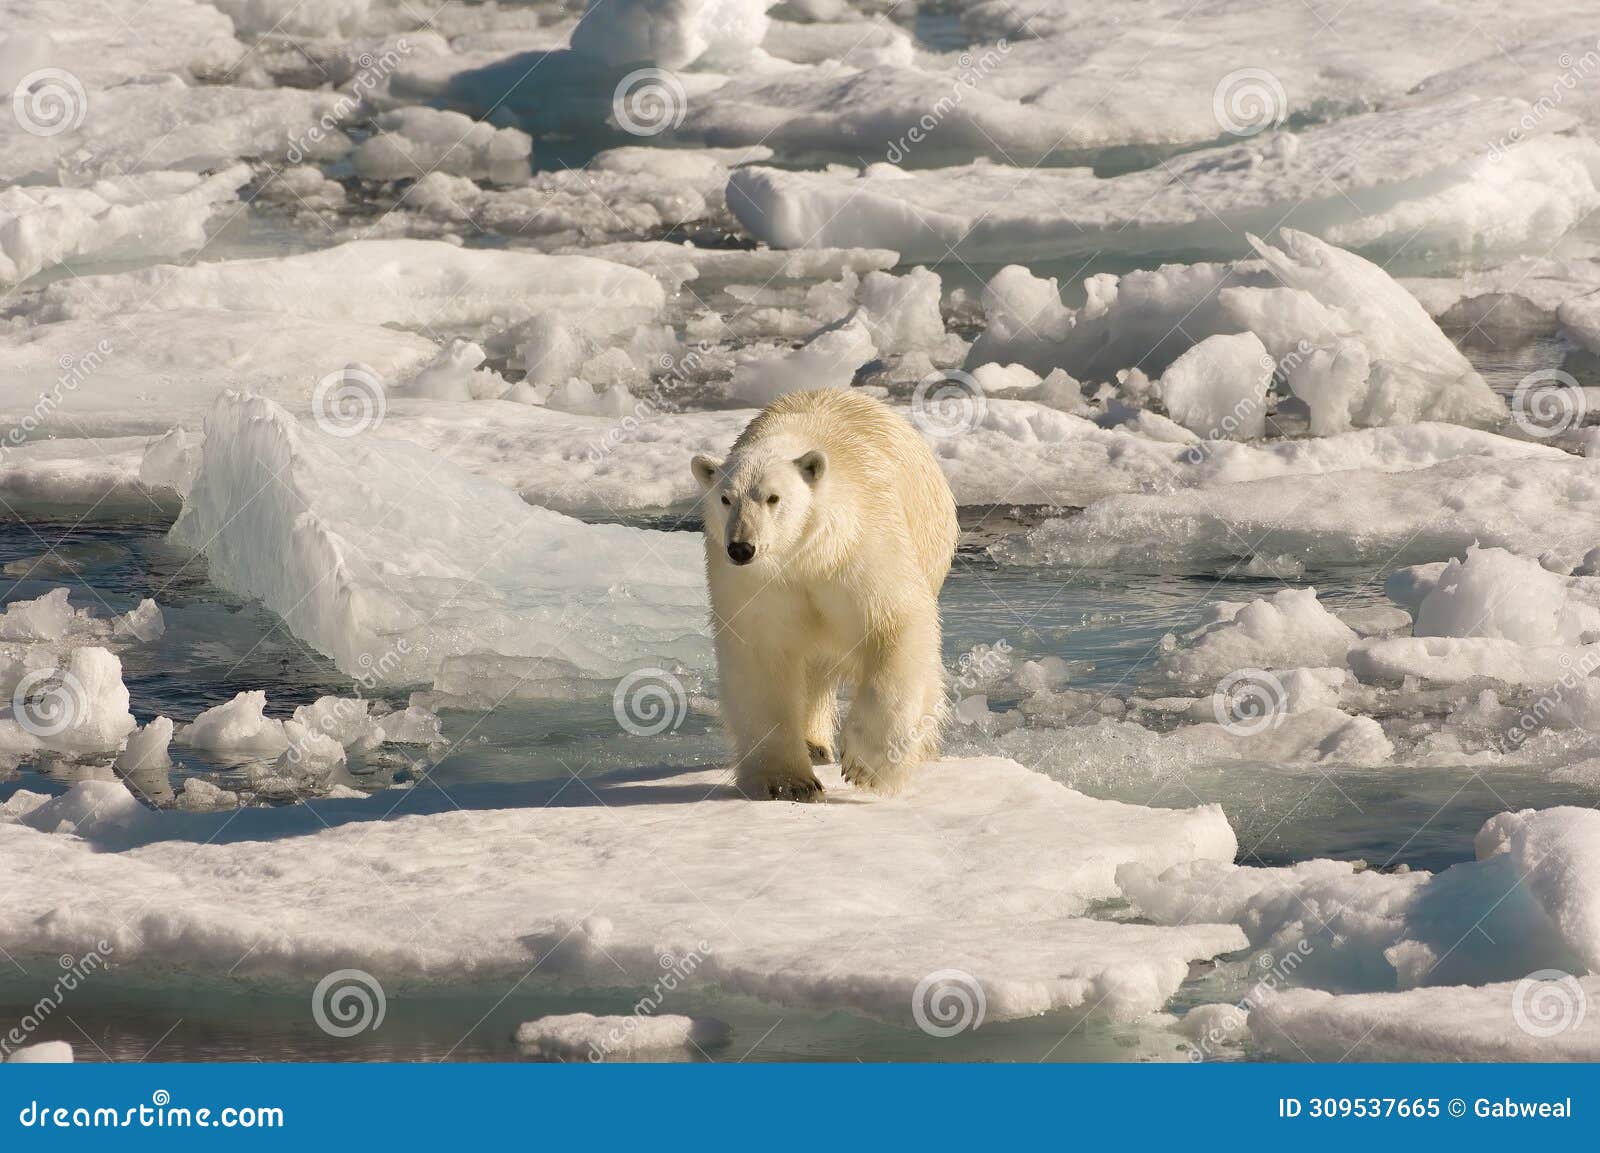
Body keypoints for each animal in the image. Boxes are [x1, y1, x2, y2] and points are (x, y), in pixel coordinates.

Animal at [691, 389, 959, 800]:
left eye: (773, 498)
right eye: (725, 498)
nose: (741, 547)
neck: (801, 556)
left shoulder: (856, 549)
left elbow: (895, 622)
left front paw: (867, 767)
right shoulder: (756, 585)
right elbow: (760, 656)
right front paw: (788, 782)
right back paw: (814, 745)